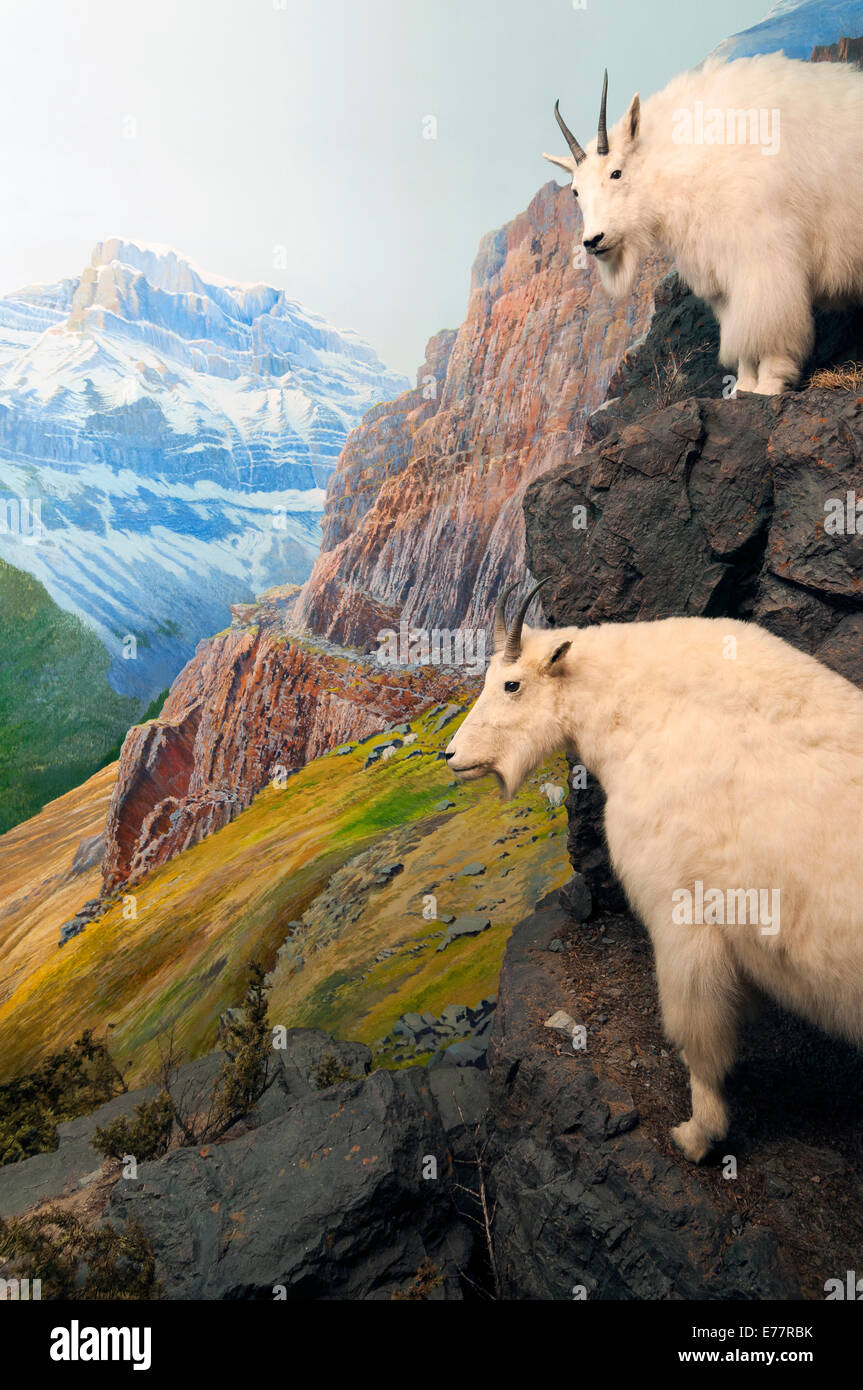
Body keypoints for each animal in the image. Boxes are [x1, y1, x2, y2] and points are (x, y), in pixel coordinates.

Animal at [445, 581, 863, 1161]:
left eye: (512, 684)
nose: (452, 756)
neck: (643, 712)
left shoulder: (680, 913)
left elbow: (699, 1036)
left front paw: (697, 1134)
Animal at [544, 55, 863, 394]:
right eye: (575, 191)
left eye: (616, 173)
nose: (593, 240)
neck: (688, 164)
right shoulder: (721, 276)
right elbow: (738, 333)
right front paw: (743, 386)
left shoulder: (765, 261)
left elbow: (768, 326)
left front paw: (769, 384)